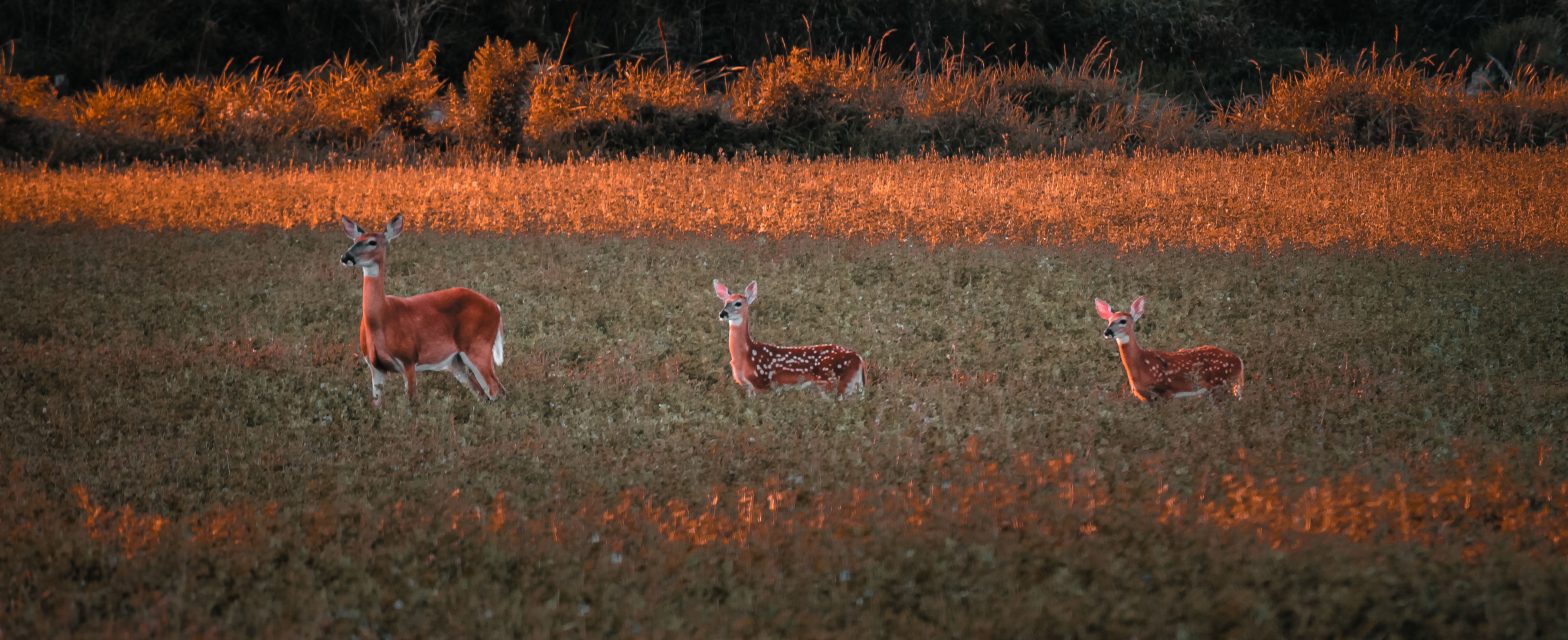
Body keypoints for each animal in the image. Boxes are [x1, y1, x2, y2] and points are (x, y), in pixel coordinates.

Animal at [339, 215, 504, 408]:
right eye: (354, 240)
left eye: (372, 242)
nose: (345, 257)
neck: (382, 318)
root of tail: (496, 307)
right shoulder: (375, 366)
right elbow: (377, 405)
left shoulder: (409, 358)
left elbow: (412, 402)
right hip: (456, 362)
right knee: (483, 391)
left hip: (478, 346)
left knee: (496, 389)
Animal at [713, 280, 866, 398]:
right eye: (725, 302)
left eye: (738, 303)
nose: (722, 314)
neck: (746, 355)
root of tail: (859, 359)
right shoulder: (750, 387)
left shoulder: (762, 382)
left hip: (835, 384)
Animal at [1094, 296, 1243, 402]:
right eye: (1109, 321)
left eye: (1123, 321)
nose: (1107, 332)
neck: (1141, 365)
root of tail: (1239, 362)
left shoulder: (1165, 392)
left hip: (1219, 384)